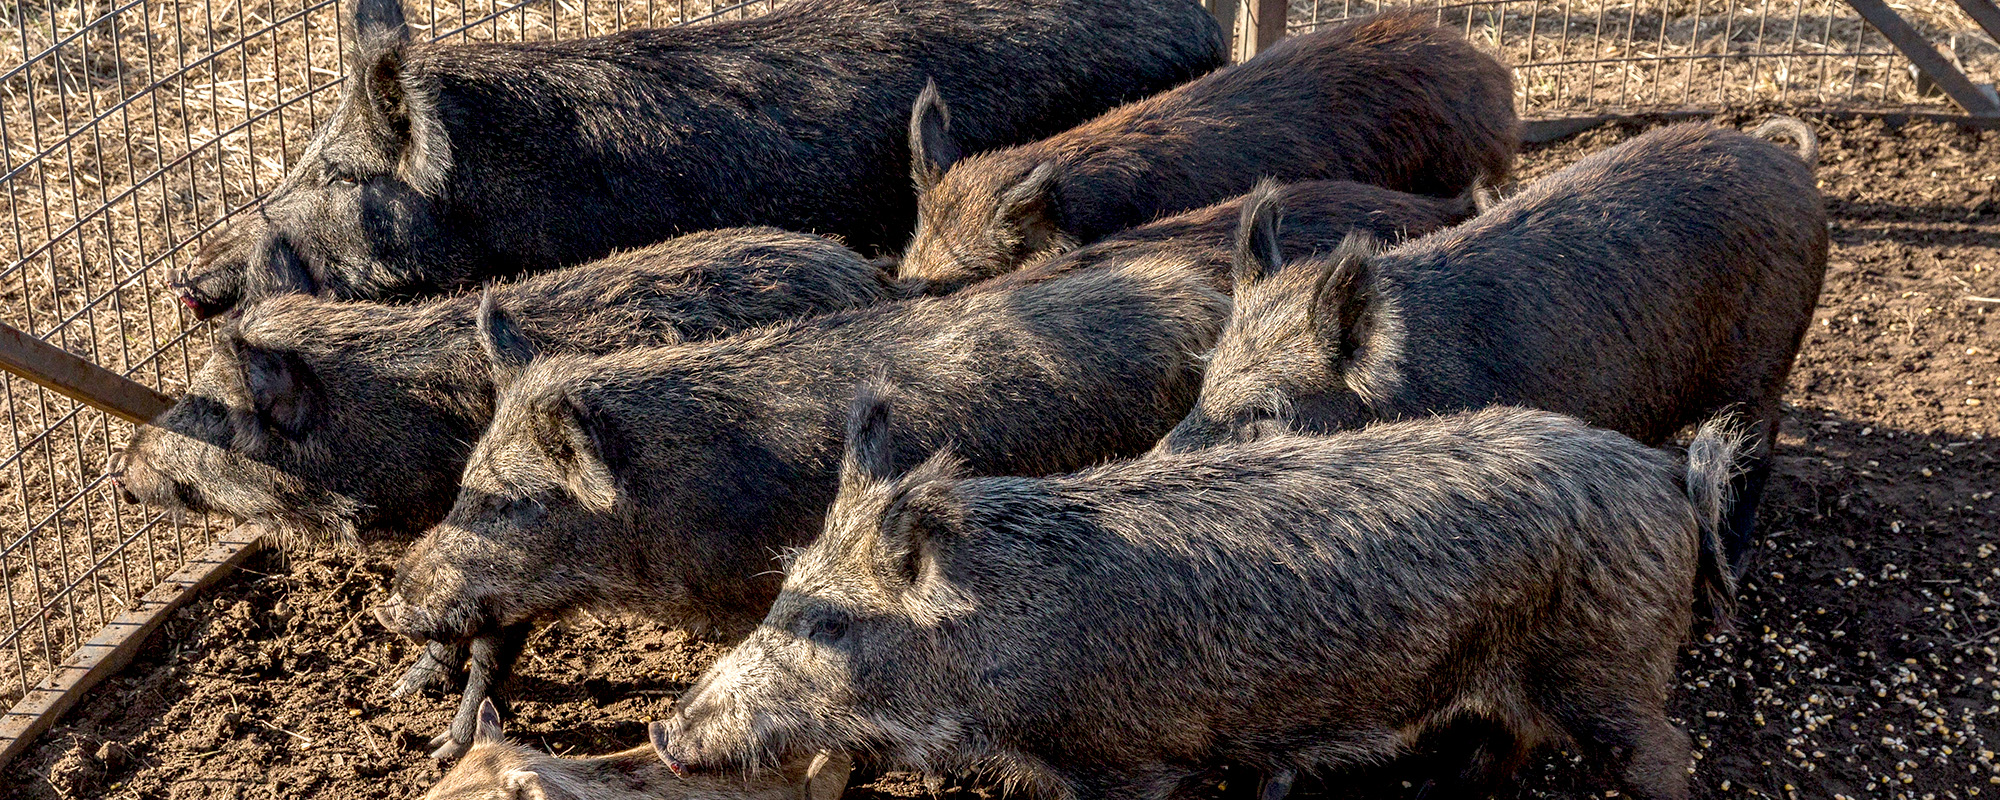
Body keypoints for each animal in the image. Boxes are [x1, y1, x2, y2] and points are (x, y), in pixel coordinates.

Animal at [650, 399, 1740, 800]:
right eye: (782, 591)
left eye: (832, 623)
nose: (664, 728)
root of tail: (1666, 473)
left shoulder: (1129, 758)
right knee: (1508, 735)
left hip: (1608, 664)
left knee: (1662, 750)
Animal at [1157, 120, 1828, 573]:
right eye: (1207, 379)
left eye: (1268, 411)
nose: (1157, 459)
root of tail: (1790, 163)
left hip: (1763, 360)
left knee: (1758, 443)